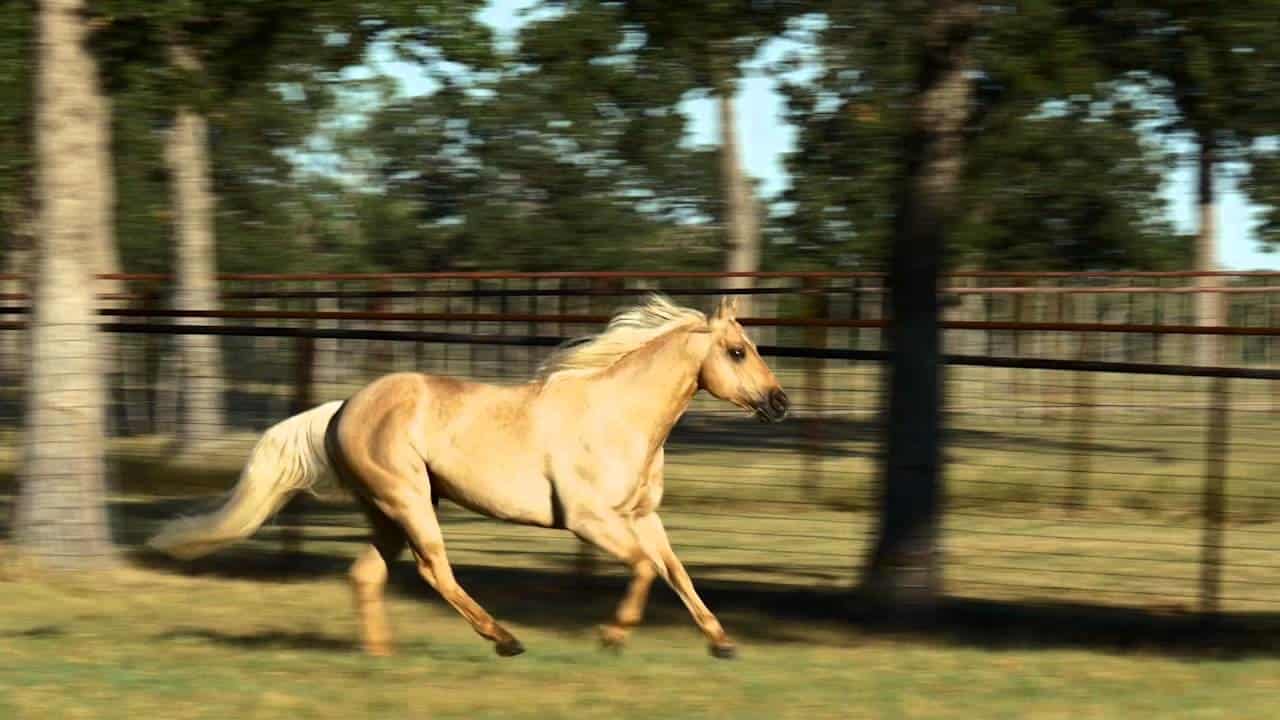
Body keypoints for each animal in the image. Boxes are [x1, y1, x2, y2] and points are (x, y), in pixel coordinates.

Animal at [147, 294, 790, 659]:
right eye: (737, 351)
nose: (780, 403)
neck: (617, 416)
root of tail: (341, 408)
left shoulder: (642, 516)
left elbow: (676, 572)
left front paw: (723, 643)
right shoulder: (589, 520)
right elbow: (643, 569)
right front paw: (611, 637)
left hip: (387, 511)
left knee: (365, 574)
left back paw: (383, 658)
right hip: (409, 501)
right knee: (435, 571)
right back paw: (506, 641)